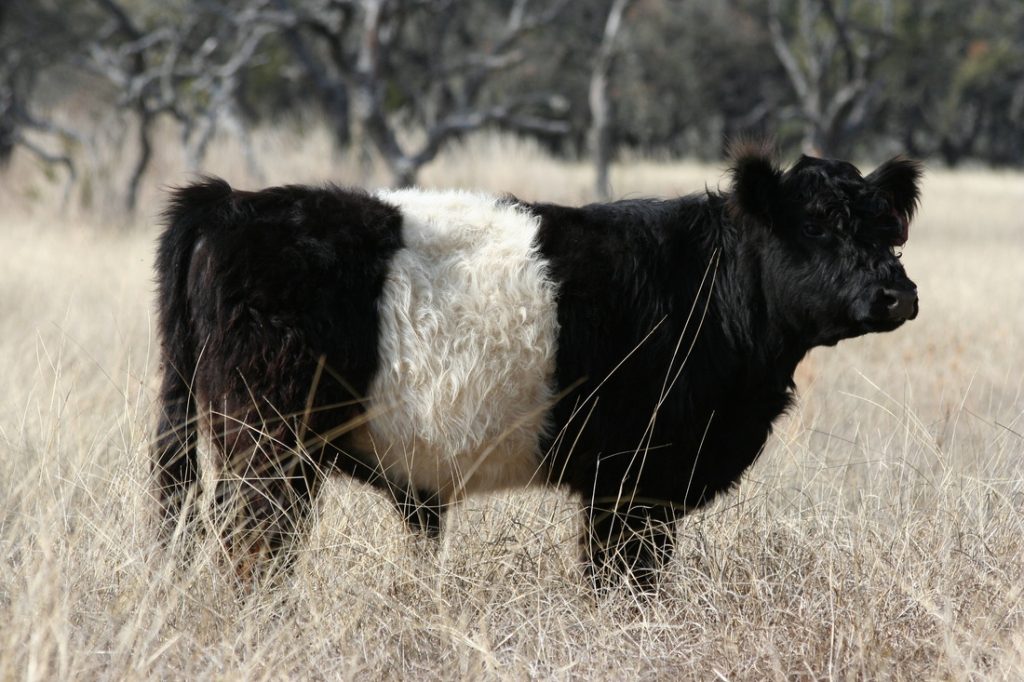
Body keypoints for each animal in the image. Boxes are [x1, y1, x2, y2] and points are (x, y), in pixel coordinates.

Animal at [152, 143, 921, 589]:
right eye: (815, 224)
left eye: (889, 231)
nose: (897, 293)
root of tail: (231, 202)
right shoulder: (634, 484)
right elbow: (621, 579)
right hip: (270, 445)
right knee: (252, 546)